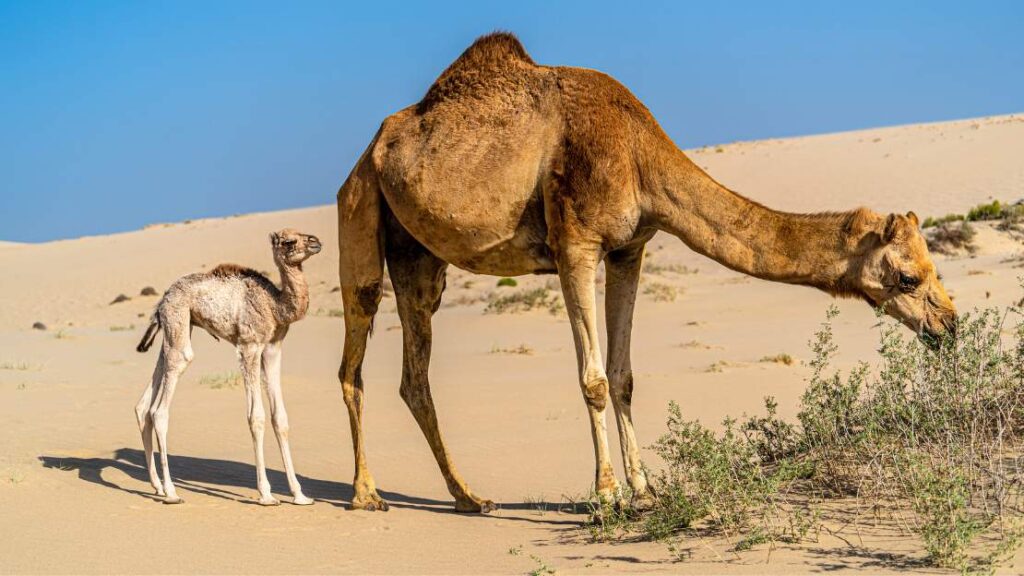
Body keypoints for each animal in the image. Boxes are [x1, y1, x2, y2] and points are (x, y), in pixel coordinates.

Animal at [135, 228, 321, 506]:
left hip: (176, 328)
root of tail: (163, 300)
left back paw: (157, 486)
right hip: (178, 319)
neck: (274, 305)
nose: (315, 242)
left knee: (145, 404)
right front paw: (266, 494)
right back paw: (171, 492)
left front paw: (300, 495)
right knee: (160, 407)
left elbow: (280, 418)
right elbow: (256, 417)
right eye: (289, 241)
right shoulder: (249, 345)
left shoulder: (273, 348)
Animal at [335, 32, 957, 512]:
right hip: (359, 208)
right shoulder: (576, 244)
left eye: (934, 271)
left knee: (415, 373)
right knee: (355, 348)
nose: (949, 326)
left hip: (420, 259)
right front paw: (607, 496)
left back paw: (469, 498)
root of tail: (371, 147)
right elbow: (593, 378)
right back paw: (367, 495)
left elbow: (624, 373)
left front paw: (645, 490)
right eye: (909, 278)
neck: (638, 153)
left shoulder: (628, 249)